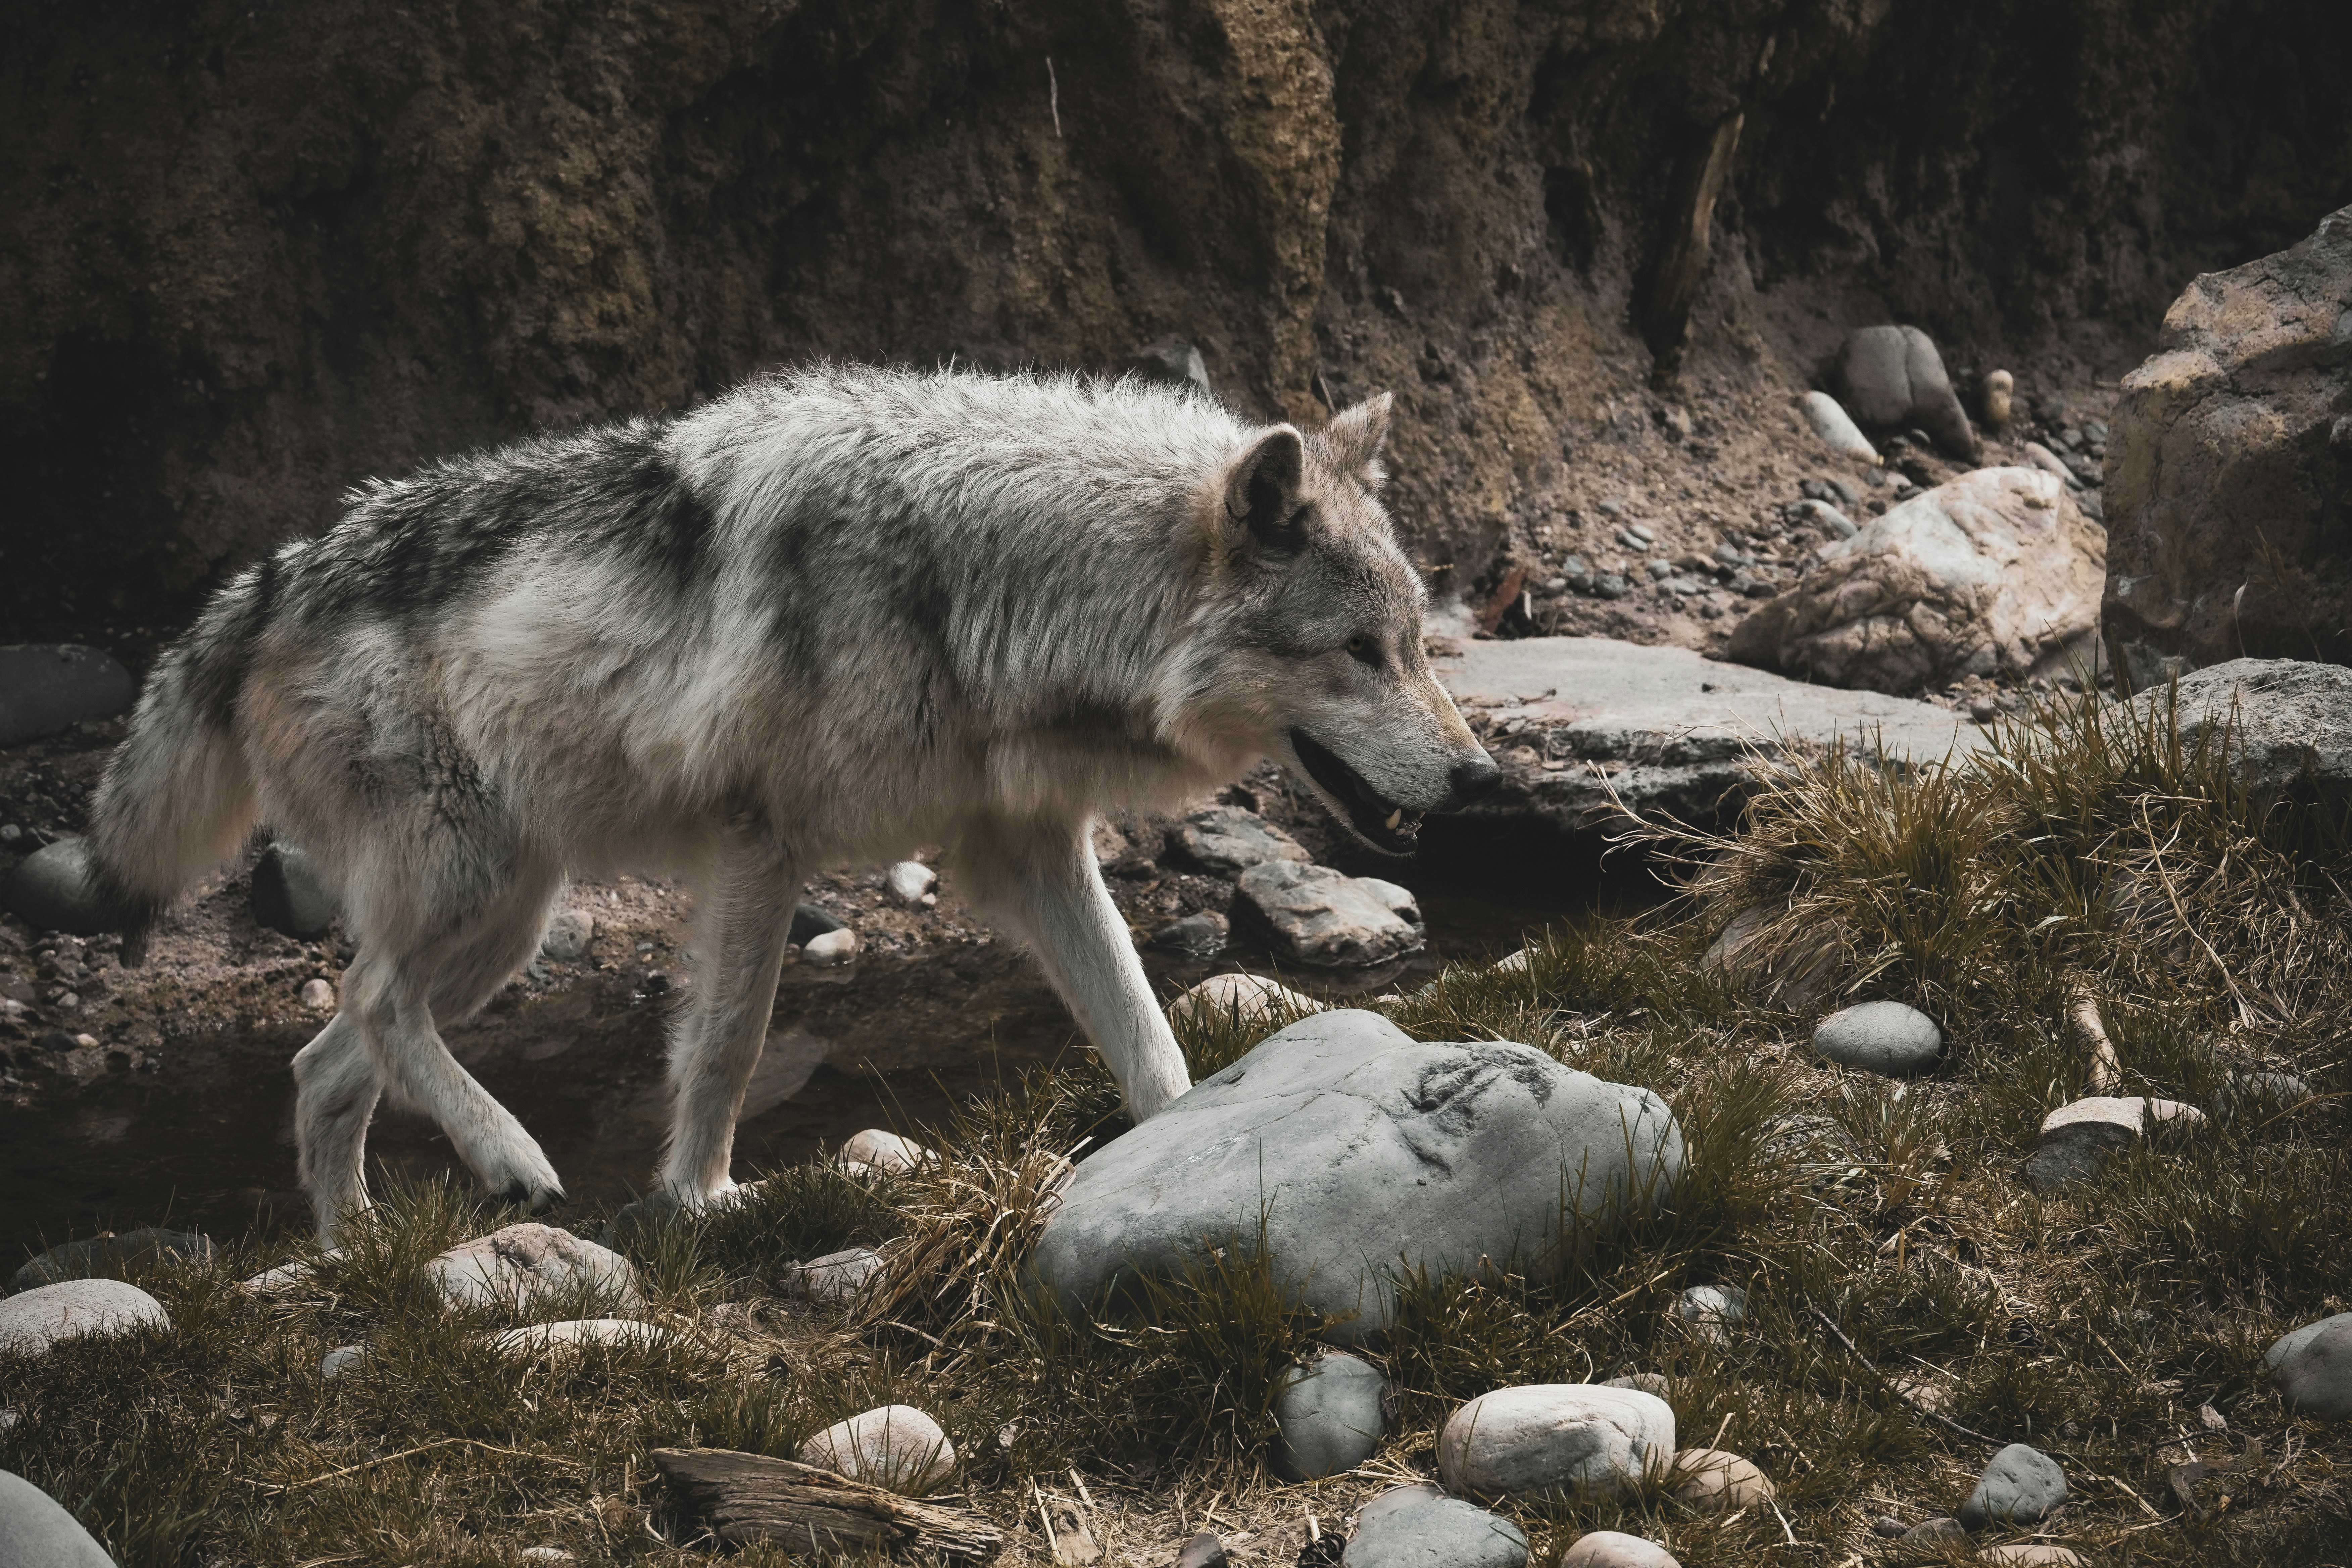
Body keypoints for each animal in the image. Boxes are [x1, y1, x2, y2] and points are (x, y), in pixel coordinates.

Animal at [85, 364, 1499, 1242]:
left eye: (1416, 643)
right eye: (1357, 652)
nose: (1482, 778)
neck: (980, 588)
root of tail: (269, 577)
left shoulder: (1029, 852)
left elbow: (1147, 1036)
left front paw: (1190, 1141)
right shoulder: (757, 845)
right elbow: (726, 1041)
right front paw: (704, 1199)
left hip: (506, 923)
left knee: (326, 1061)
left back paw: (357, 1260)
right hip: (475, 889)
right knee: (372, 1006)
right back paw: (509, 1159)